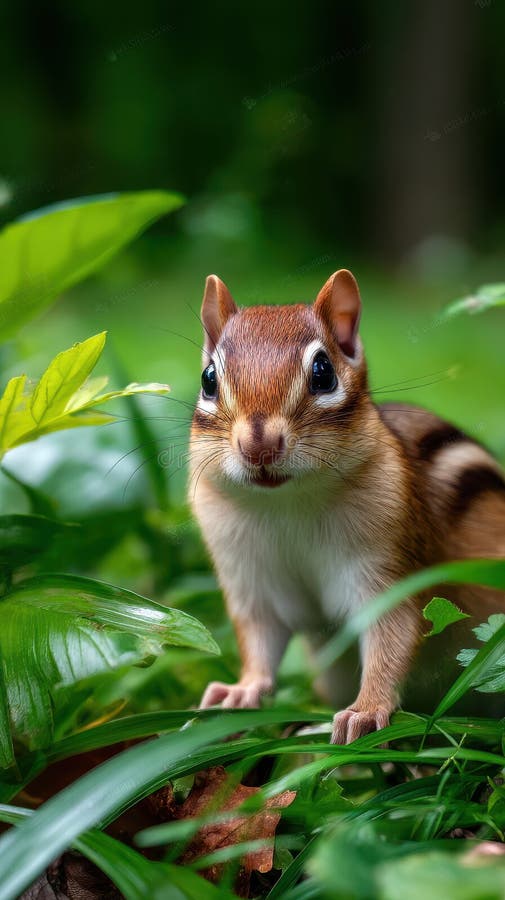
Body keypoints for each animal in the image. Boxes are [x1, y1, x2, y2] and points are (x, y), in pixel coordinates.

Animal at [189, 270, 505, 743]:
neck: (288, 504)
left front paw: (366, 710)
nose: (258, 446)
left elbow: (392, 634)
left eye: (323, 373)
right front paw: (241, 690)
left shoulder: (386, 564)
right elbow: (260, 637)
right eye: (209, 379)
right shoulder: (252, 581)